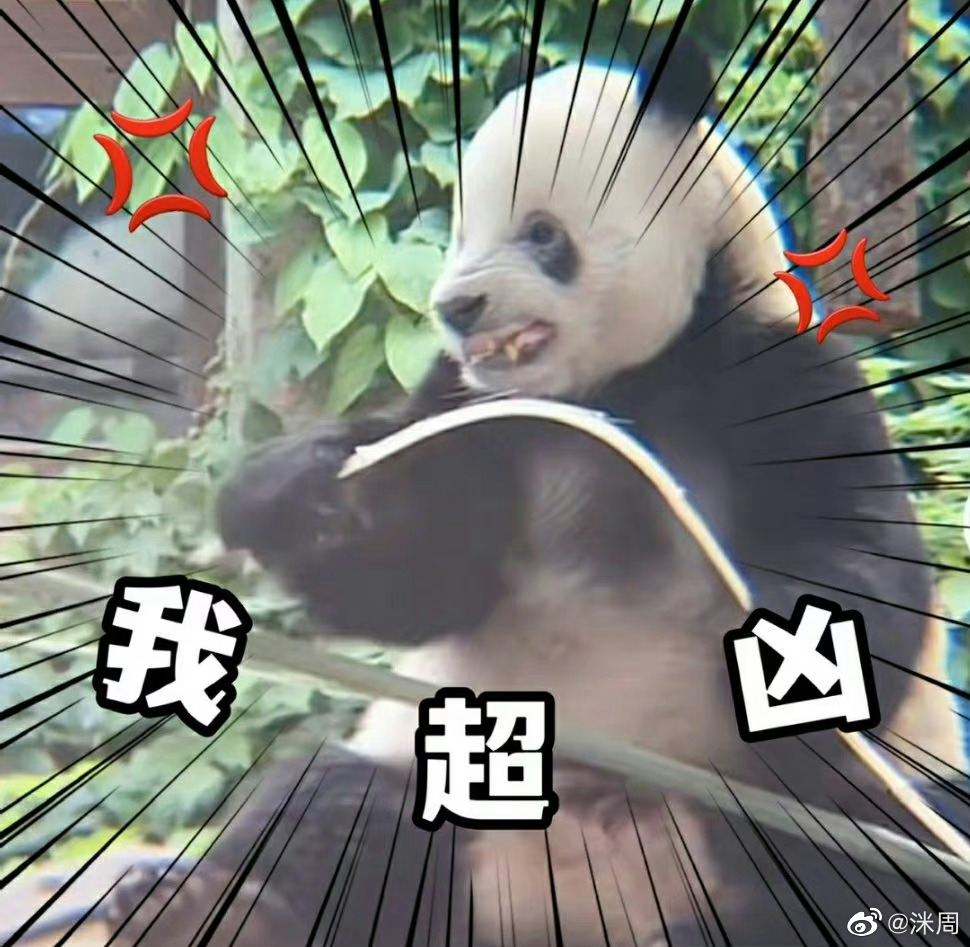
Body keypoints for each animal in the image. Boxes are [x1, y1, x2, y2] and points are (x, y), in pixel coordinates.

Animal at [82, 39, 967, 947]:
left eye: (542, 234)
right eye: (461, 234)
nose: (458, 307)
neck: (609, 387)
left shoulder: (781, 374)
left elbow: (870, 574)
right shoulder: (472, 413)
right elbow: (423, 581)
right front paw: (297, 493)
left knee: (875, 842)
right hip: (443, 784)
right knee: (330, 801)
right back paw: (208, 904)